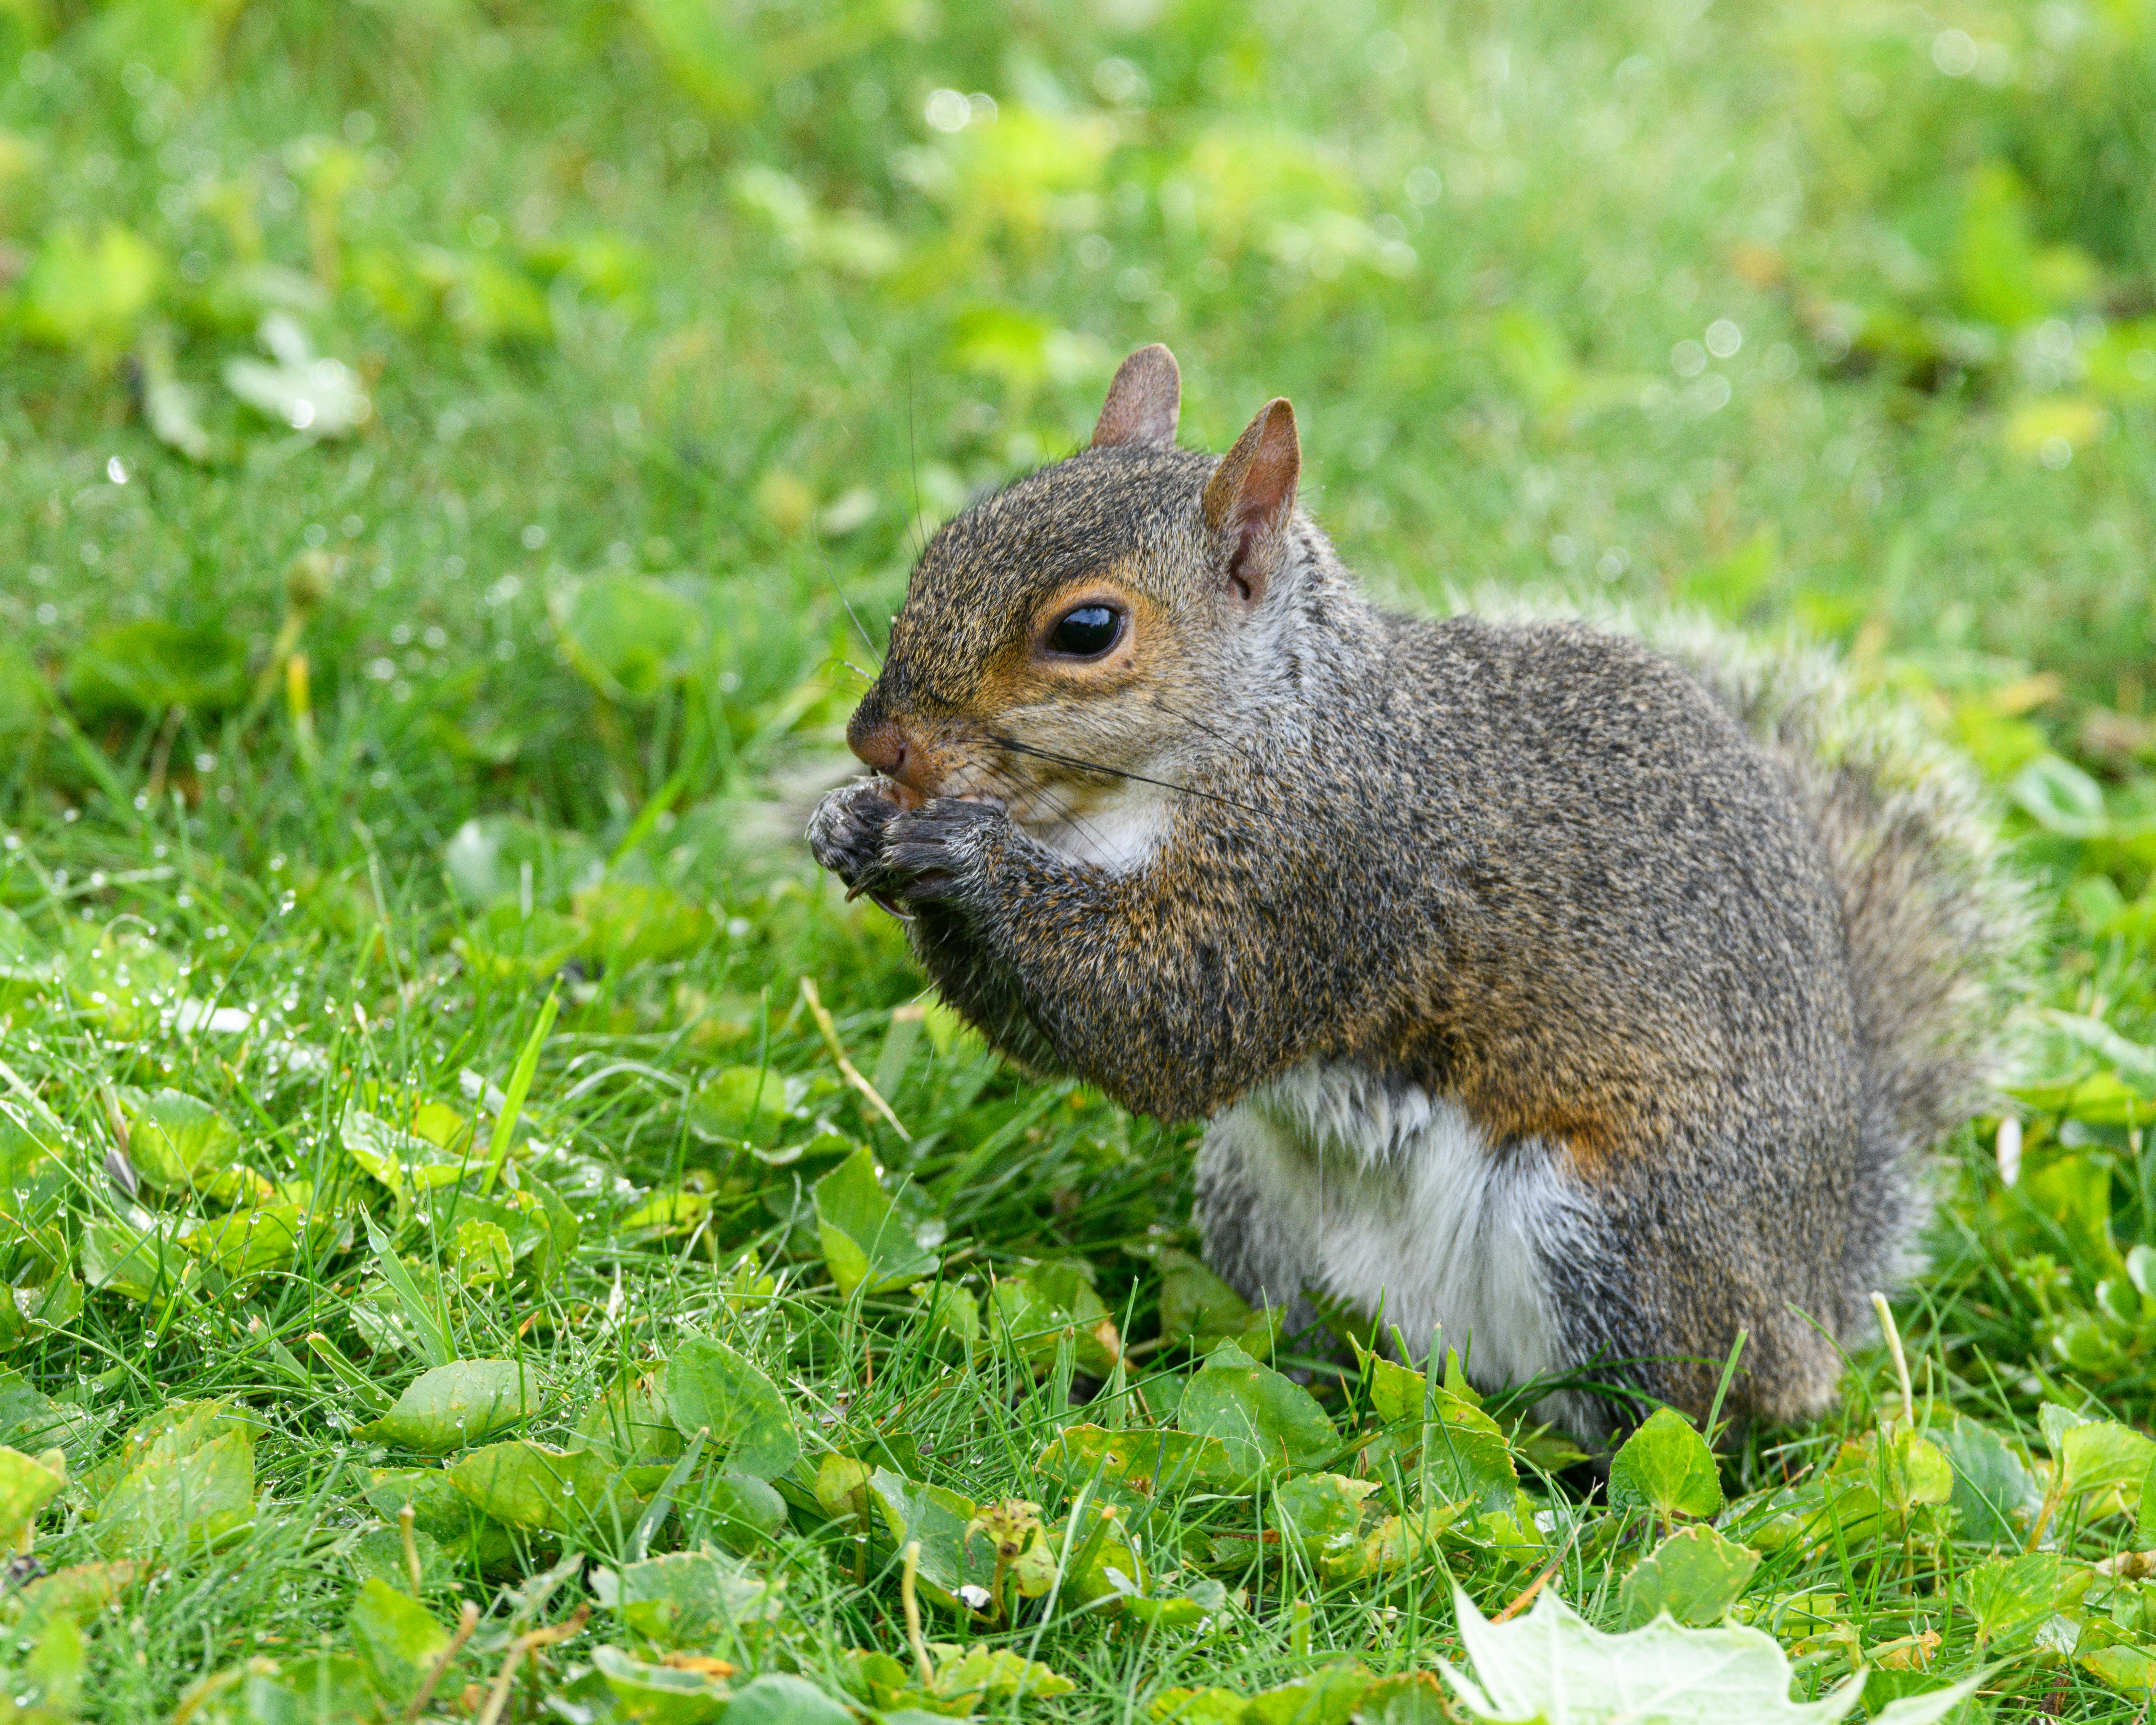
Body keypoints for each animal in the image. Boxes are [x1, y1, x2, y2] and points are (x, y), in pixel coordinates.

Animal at [808, 343, 2031, 1442]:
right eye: (941, 549)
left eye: (1088, 629)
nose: (878, 741)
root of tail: (1817, 1286)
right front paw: (849, 823)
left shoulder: (1326, 875)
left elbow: (1169, 1023)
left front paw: (963, 854)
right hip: (1261, 1208)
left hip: (1623, 1237)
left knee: (1684, 1422)